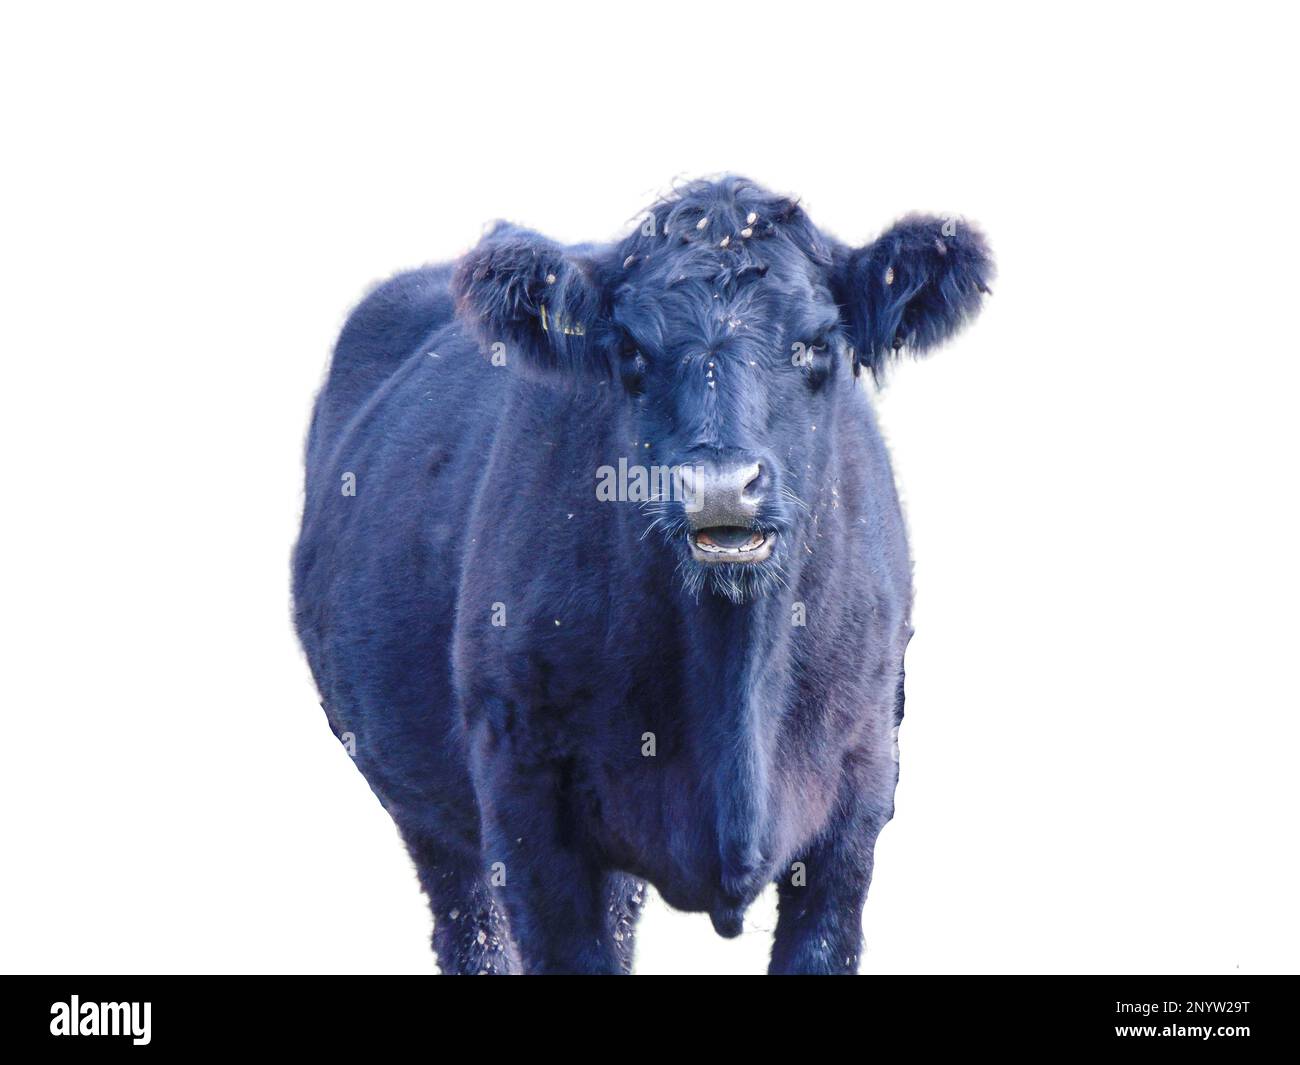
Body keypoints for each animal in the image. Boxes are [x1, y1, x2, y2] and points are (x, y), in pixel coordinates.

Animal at [292, 176, 993, 974]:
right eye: (629, 348)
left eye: (817, 341)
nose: (720, 486)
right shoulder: (527, 808)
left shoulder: (858, 800)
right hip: (424, 809)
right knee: (471, 931)